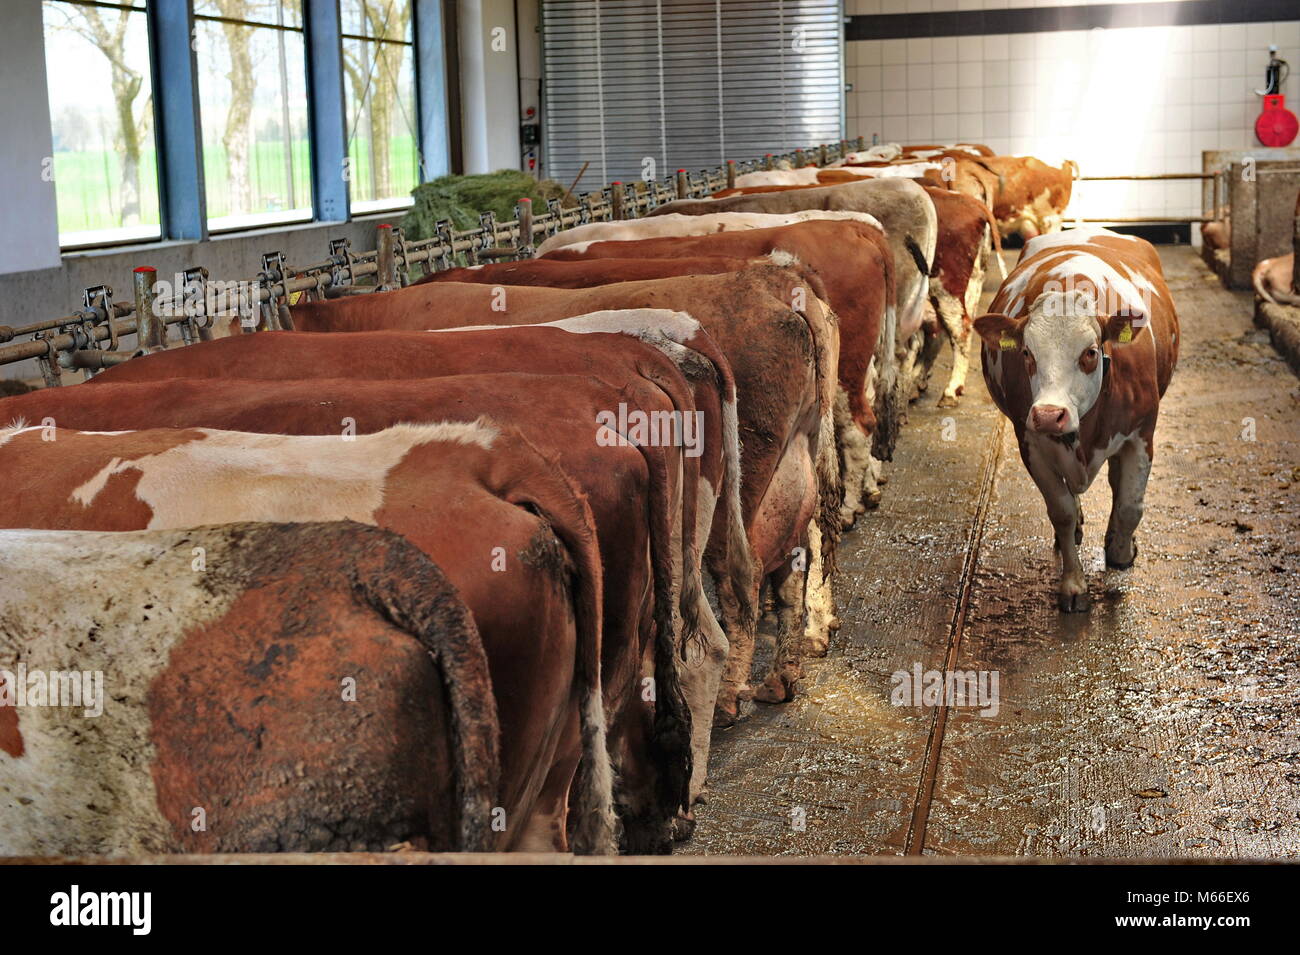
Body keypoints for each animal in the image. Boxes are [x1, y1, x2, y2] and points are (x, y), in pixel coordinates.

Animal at [974, 227, 1179, 612]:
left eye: (1090, 352)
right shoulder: (1031, 442)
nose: (1048, 415)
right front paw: (1073, 584)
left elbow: (1130, 506)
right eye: (1027, 353)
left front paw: (1120, 551)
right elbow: (1063, 512)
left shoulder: (1141, 434)